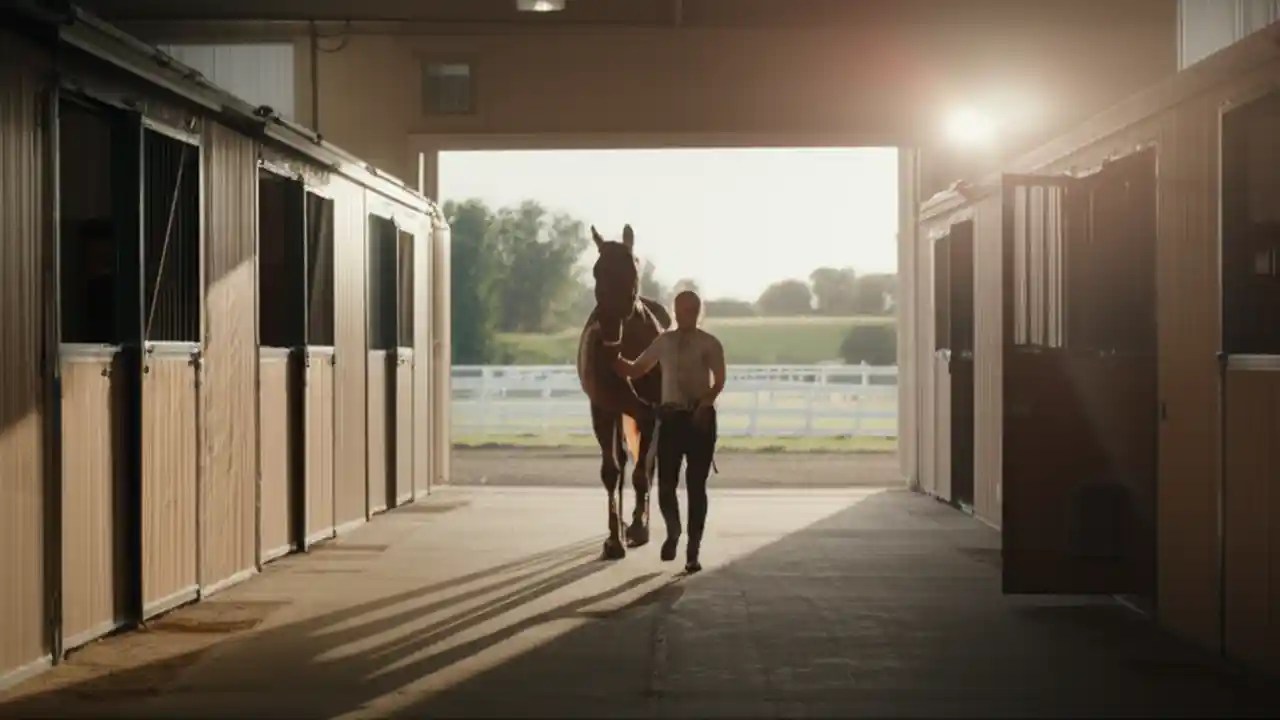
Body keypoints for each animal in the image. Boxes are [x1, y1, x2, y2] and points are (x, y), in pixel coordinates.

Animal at [576, 224, 671, 560]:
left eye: (632, 268)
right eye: (596, 270)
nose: (607, 327)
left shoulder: (651, 412)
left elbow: (643, 471)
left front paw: (639, 527)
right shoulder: (603, 409)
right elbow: (611, 471)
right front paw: (613, 539)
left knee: (648, 464)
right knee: (620, 461)